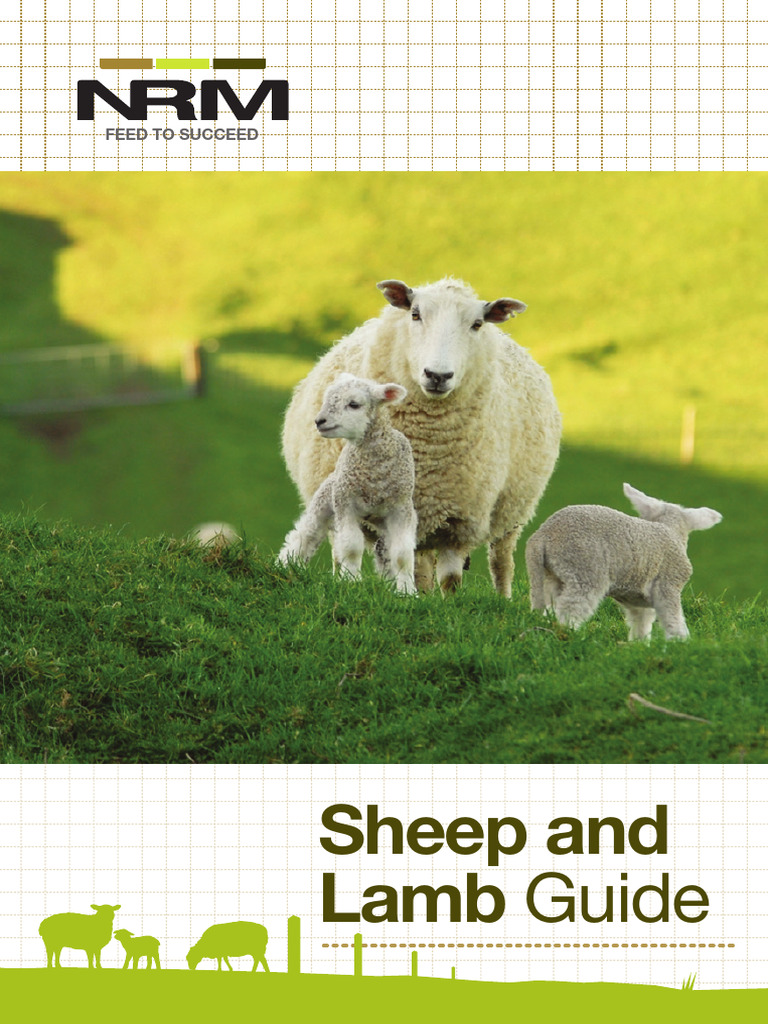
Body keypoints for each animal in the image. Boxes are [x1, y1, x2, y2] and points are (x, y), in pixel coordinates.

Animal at [279, 373, 418, 594]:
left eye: (354, 404)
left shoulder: (401, 509)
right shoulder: (346, 503)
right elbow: (352, 547)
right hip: (325, 501)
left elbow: (402, 556)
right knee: (304, 536)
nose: (319, 421)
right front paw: (351, 581)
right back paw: (284, 566)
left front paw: (407, 592)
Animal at [525, 483, 723, 639]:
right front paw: (681, 643)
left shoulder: (638, 602)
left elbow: (641, 623)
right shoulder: (668, 586)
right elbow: (674, 620)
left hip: (553, 575)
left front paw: (639, 645)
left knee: (550, 606)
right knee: (570, 610)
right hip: (585, 570)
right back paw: (569, 635)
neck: (669, 528)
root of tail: (543, 535)